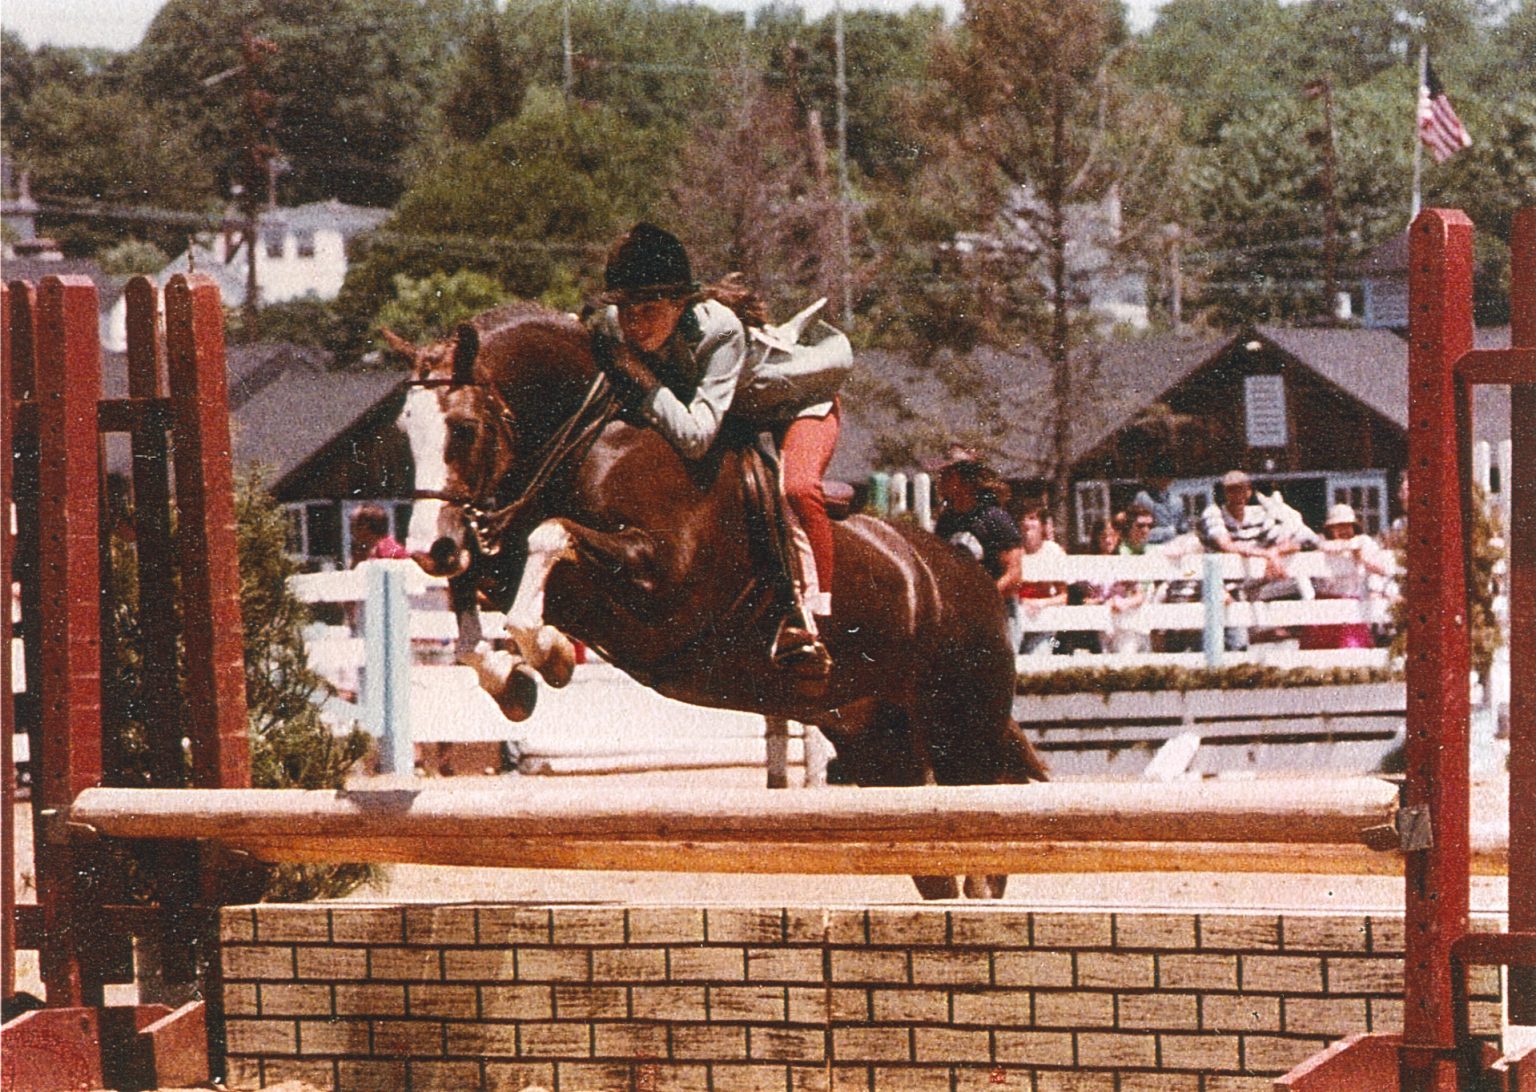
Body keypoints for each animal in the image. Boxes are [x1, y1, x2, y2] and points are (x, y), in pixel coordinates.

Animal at [386, 304, 1047, 900]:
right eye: (404, 432)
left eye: (463, 428)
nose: (430, 548)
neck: (596, 441)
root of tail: (969, 579)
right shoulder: (519, 567)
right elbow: (480, 598)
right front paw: (516, 680)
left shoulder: (662, 584)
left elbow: (551, 538)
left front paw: (546, 655)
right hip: (881, 747)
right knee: (939, 871)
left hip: (961, 732)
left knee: (981, 853)